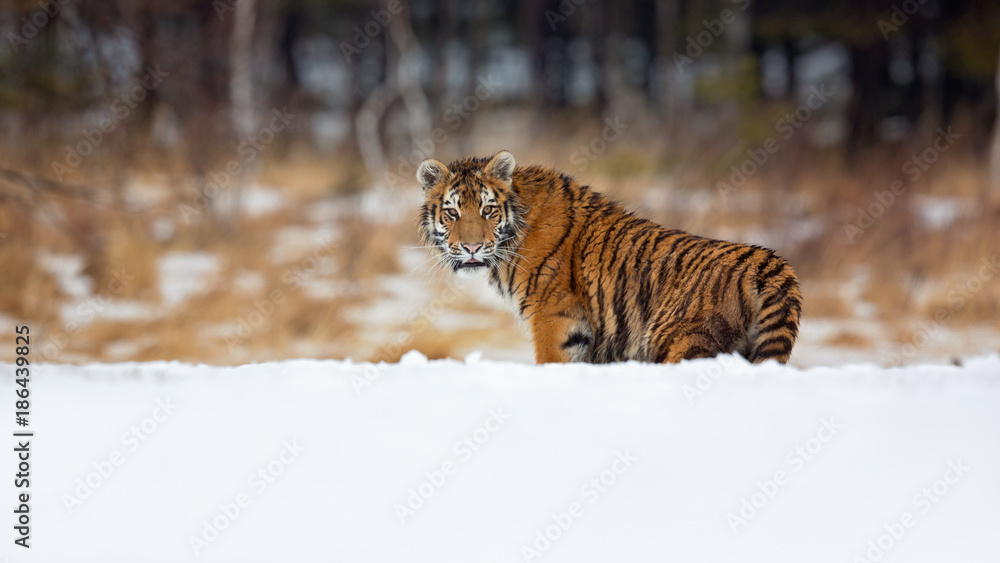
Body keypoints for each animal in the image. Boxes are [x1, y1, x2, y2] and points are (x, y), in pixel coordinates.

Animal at [416, 150, 802, 364]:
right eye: (452, 212)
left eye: (488, 210)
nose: (471, 248)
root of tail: (770, 263)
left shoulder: (556, 317)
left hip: (681, 340)